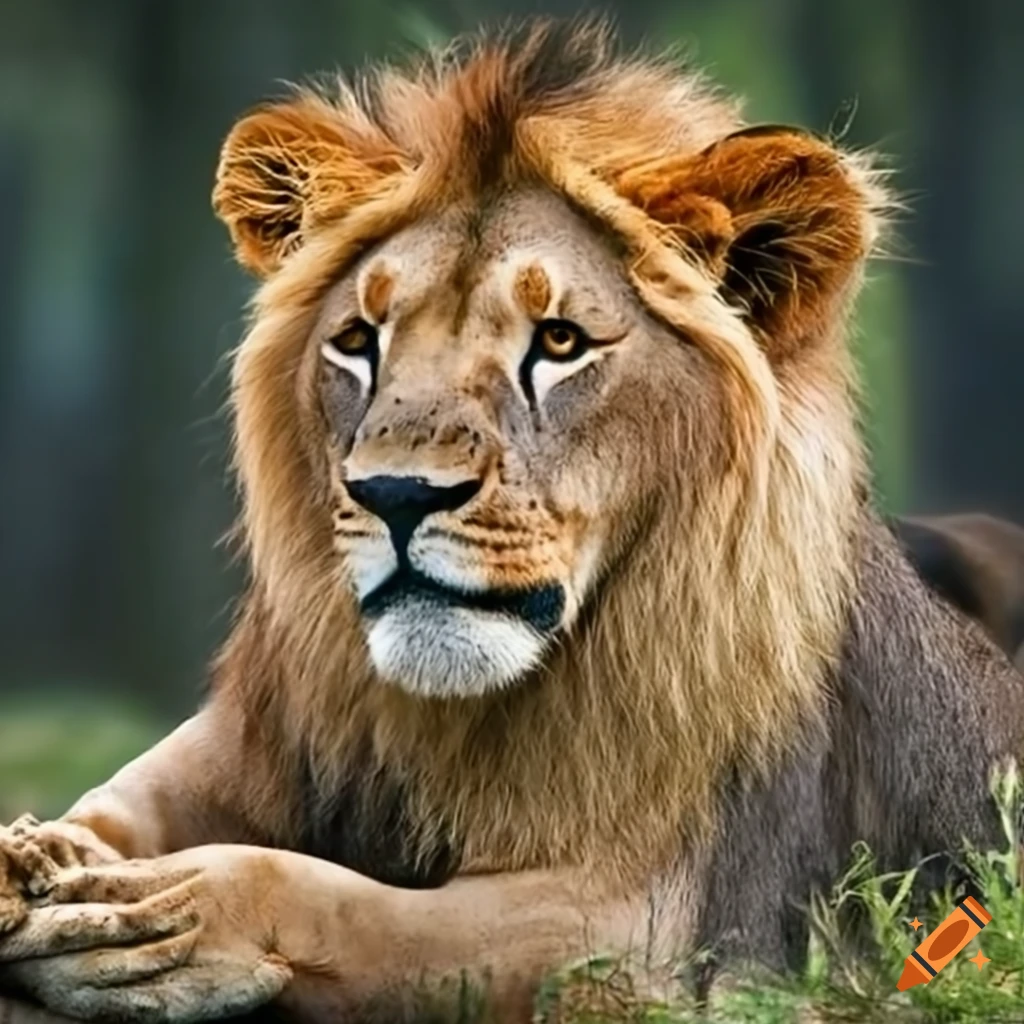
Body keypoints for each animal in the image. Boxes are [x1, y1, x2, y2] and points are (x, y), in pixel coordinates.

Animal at [1, 17, 1022, 1024]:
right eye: (358, 342)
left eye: (560, 342)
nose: (397, 494)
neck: (458, 717)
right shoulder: (238, 746)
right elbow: (111, 806)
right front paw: (34, 865)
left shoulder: (639, 928)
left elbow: (346, 908)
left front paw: (167, 919)